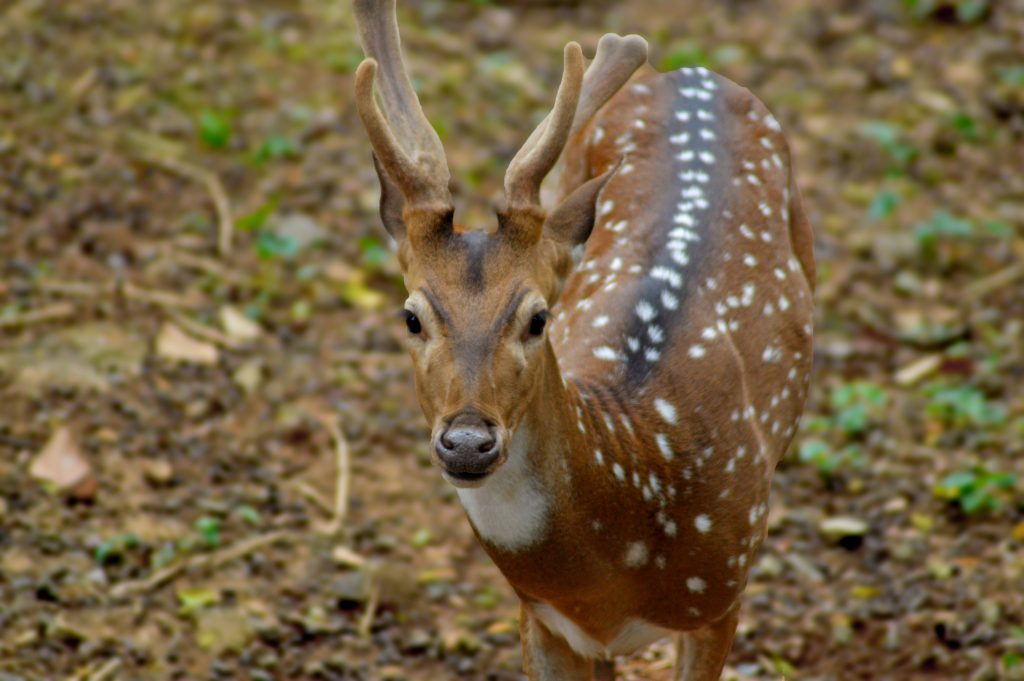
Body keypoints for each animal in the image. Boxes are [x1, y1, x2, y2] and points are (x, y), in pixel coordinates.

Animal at [350, 1, 815, 679]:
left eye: (539, 318)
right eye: (411, 317)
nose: (467, 442)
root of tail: (694, 72)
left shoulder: (721, 598)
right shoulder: (543, 618)